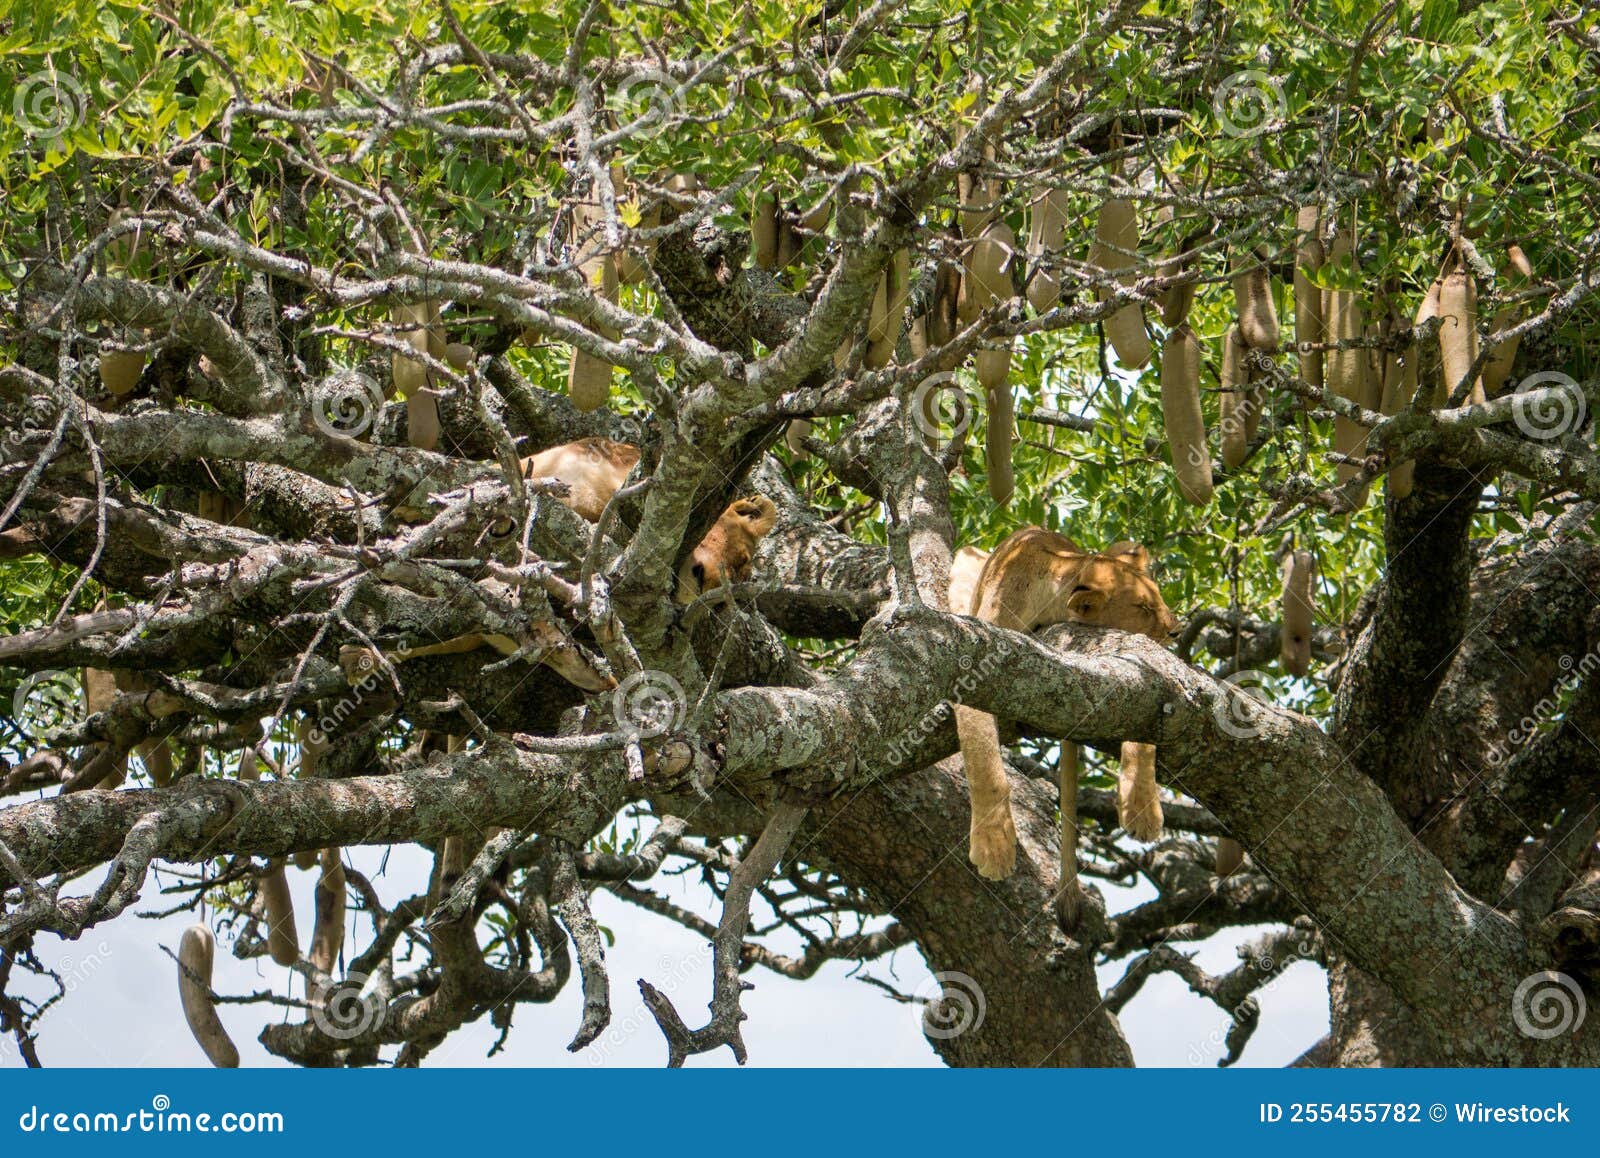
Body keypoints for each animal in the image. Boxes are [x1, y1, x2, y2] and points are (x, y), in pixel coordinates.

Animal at [950, 527, 1178, 927]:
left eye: (1159, 600)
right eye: (1144, 608)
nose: (1177, 631)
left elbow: (1144, 737)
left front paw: (1142, 808)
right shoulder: (975, 665)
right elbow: (984, 764)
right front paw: (994, 846)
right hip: (966, 559)